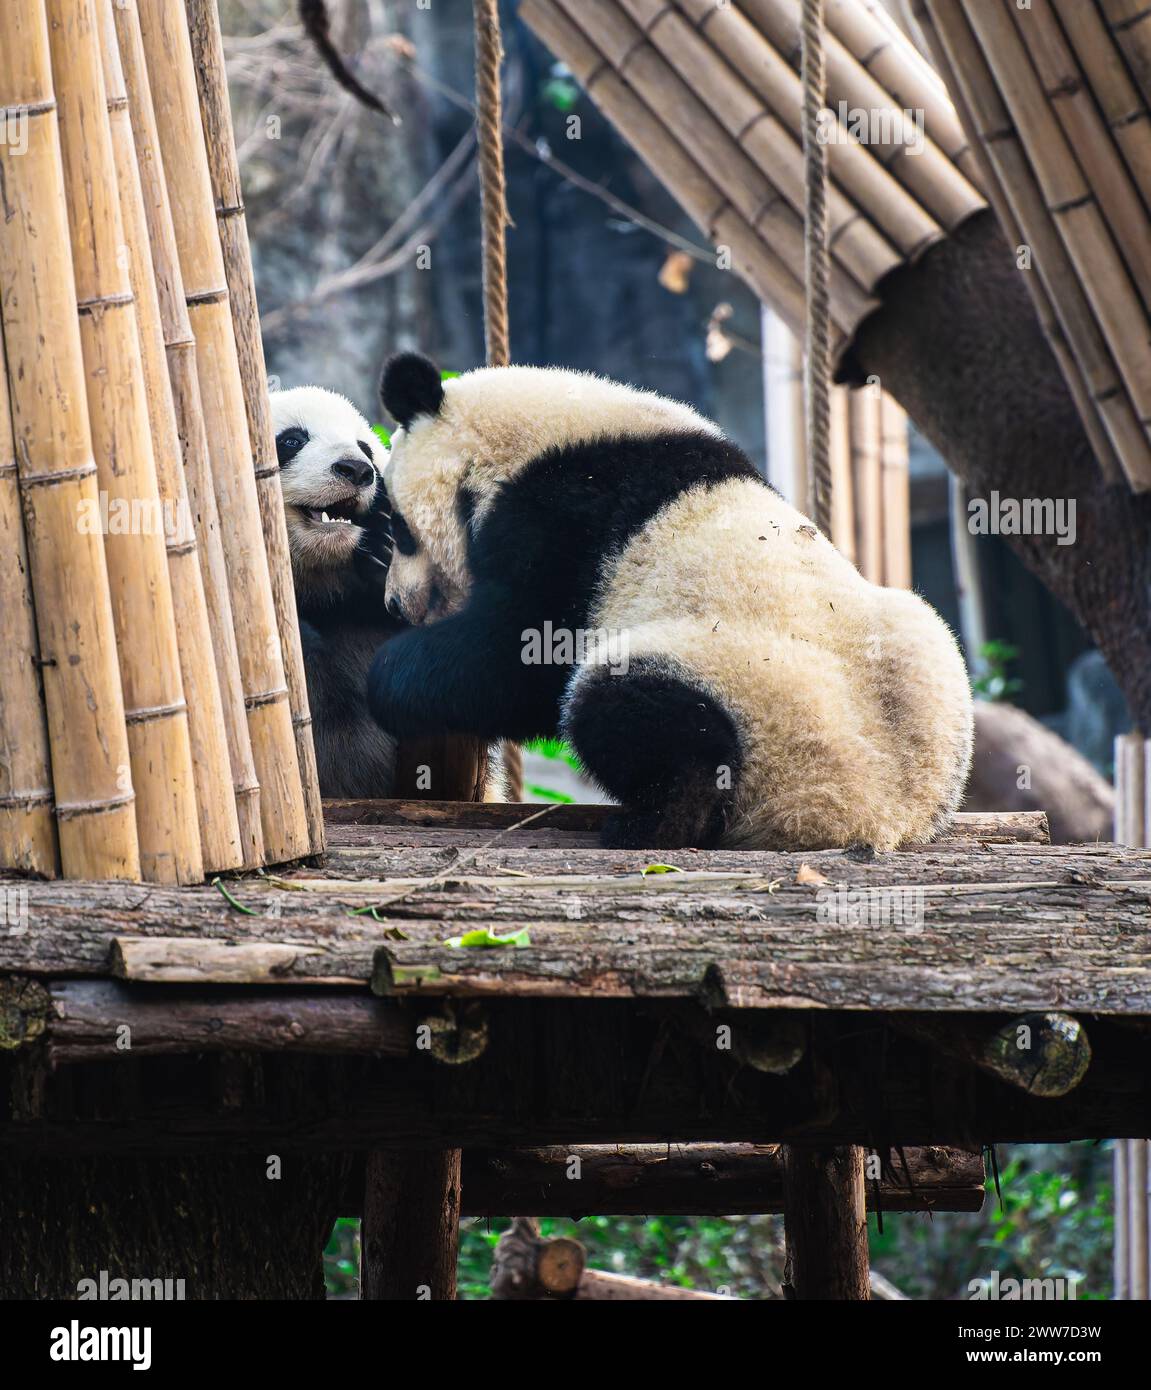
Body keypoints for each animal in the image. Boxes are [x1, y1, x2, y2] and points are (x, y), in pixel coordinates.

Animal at [368, 352, 974, 851]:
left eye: (398, 527)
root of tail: (872, 815)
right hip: (922, 656)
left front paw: (391, 676)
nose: (394, 604)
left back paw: (650, 824)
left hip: (748, 691)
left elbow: (518, 655)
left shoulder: (564, 522)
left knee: (636, 712)